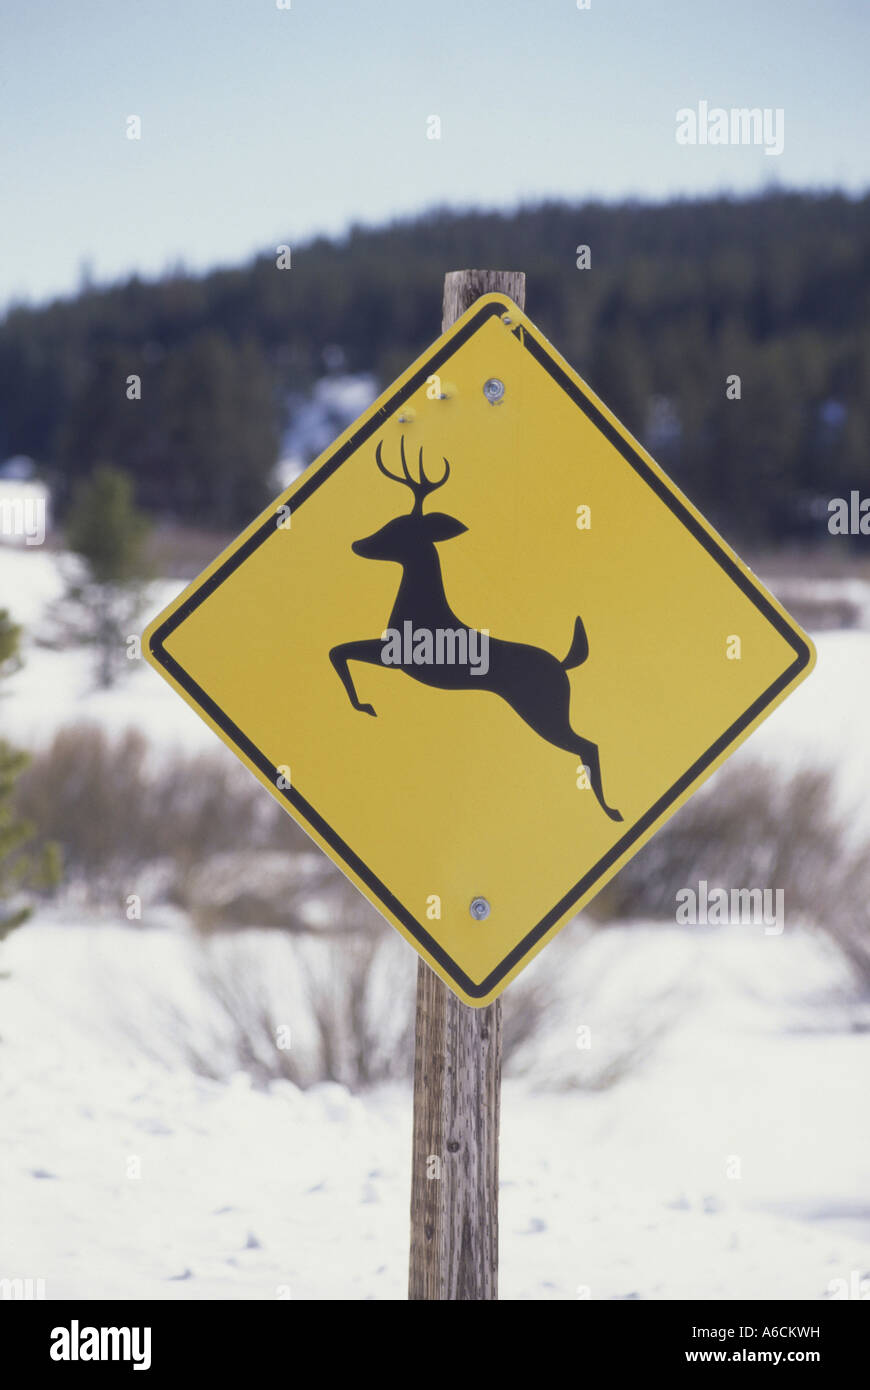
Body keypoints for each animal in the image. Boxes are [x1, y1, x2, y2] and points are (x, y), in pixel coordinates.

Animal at [329, 439, 622, 822]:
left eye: (397, 528)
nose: (358, 544)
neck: (420, 606)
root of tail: (562, 665)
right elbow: (339, 651)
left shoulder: (397, 656)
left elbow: (338, 651)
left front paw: (364, 705)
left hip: (544, 710)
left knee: (588, 745)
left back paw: (612, 811)